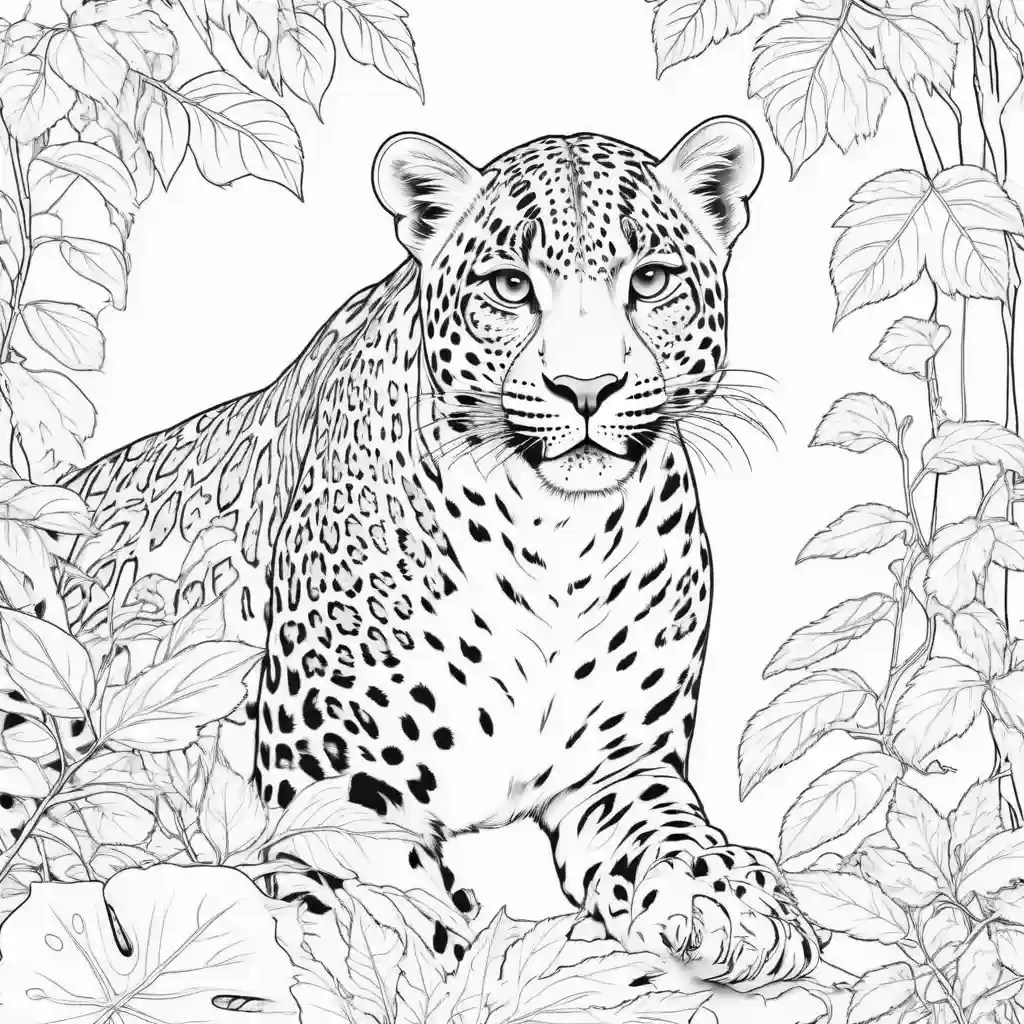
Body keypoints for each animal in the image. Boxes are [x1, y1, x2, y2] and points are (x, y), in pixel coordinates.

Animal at [11, 118, 821, 987]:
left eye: (652, 278)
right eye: (510, 286)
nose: (586, 387)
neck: (556, 544)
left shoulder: (622, 765)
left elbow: (673, 835)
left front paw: (737, 908)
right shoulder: (332, 779)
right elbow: (397, 917)